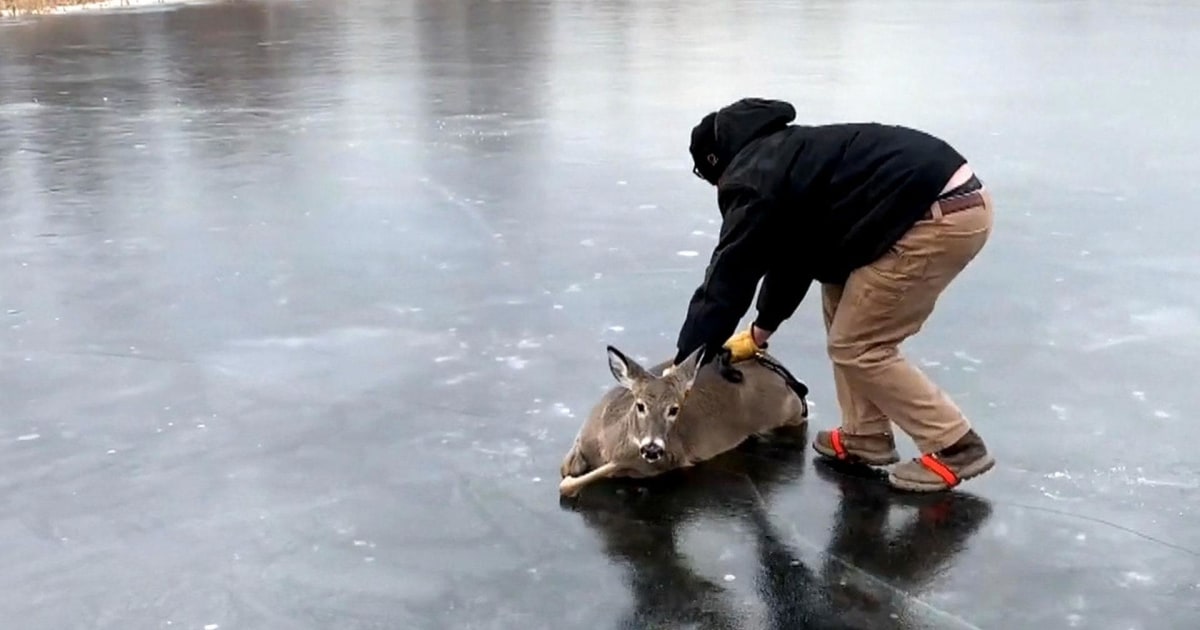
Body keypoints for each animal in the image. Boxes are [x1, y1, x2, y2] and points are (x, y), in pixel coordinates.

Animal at [558, 344, 810, 497]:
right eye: (640, 405)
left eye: (674, 409)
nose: (652, 448)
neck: (607, 443)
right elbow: (566, 467)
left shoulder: (664, 460)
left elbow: (568, 483)